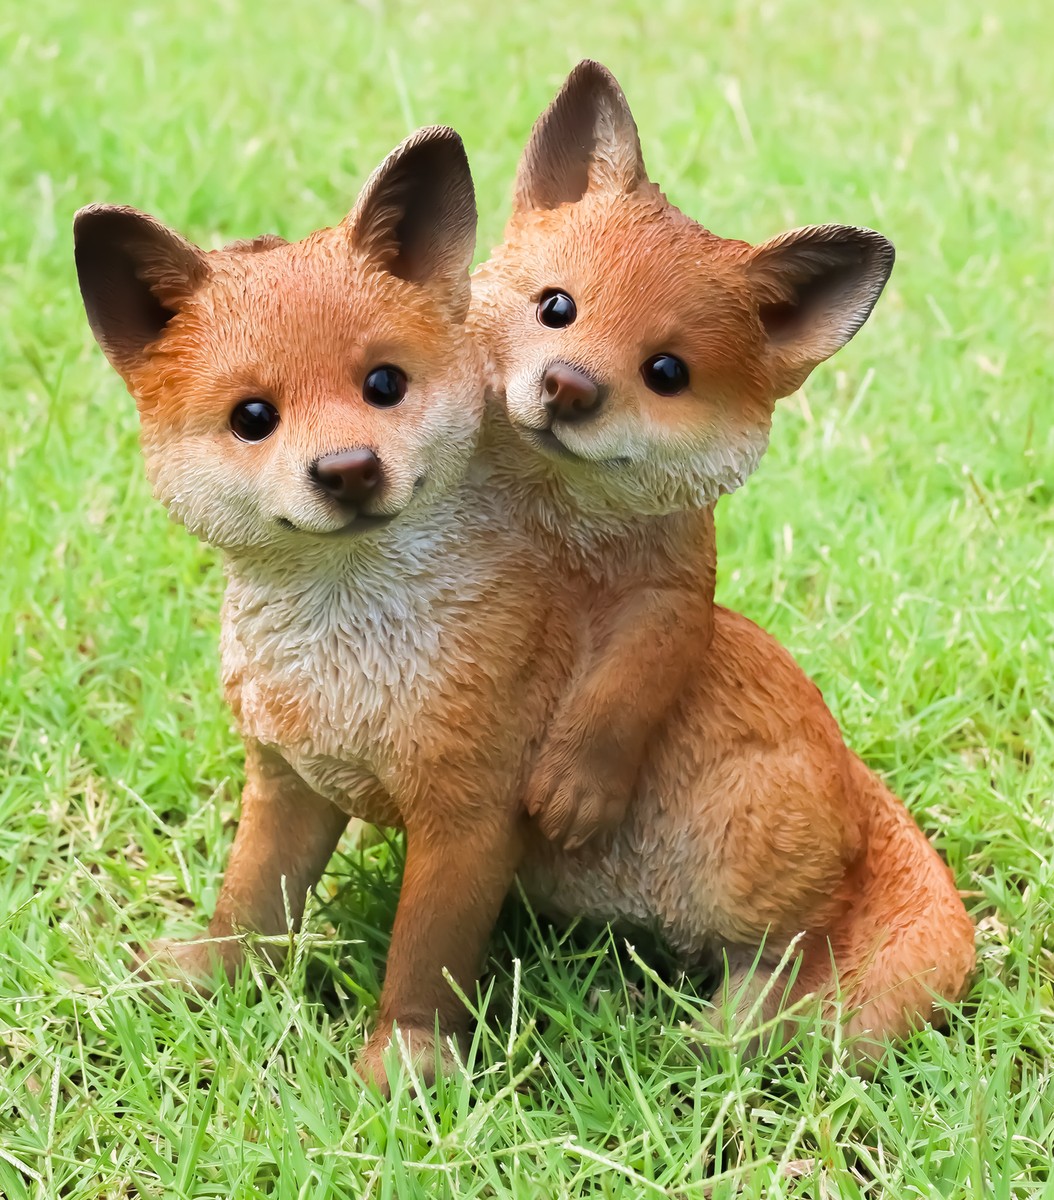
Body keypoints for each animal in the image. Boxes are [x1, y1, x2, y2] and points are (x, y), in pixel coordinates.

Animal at [470, 61, 976, 1054]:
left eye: (667, 371)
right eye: (557, 307)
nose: (569, 386)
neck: (556, 537)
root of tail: (859, 798)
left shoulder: (671, 598)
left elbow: (629, 684)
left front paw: (576, 784)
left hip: (752, 858)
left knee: (772, 984)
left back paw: (692, 1039)